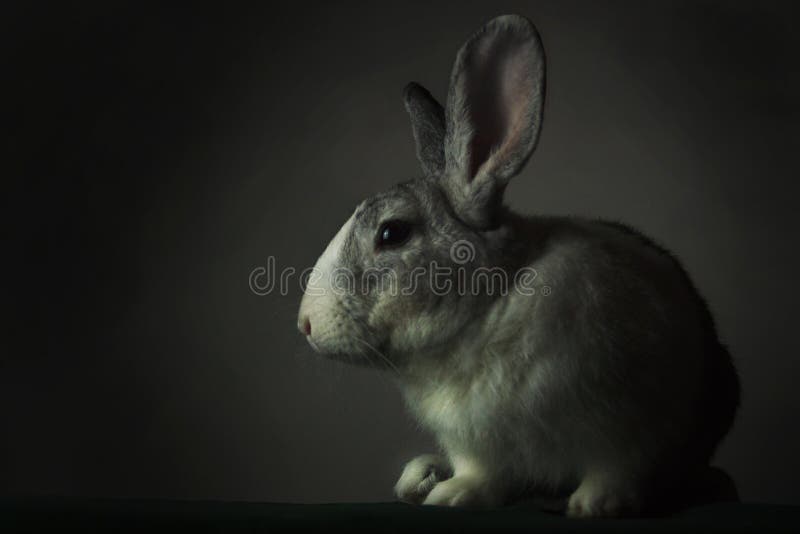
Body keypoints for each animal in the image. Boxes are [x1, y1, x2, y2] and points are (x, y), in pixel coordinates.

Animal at [296, 14, 739, 517]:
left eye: (392, 233)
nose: (305, 324)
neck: (486, 313)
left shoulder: (633, 427)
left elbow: (619, 467)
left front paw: (596, 504)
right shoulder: (475, 446)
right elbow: (481, 474)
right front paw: (454, 494)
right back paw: (422, 476)